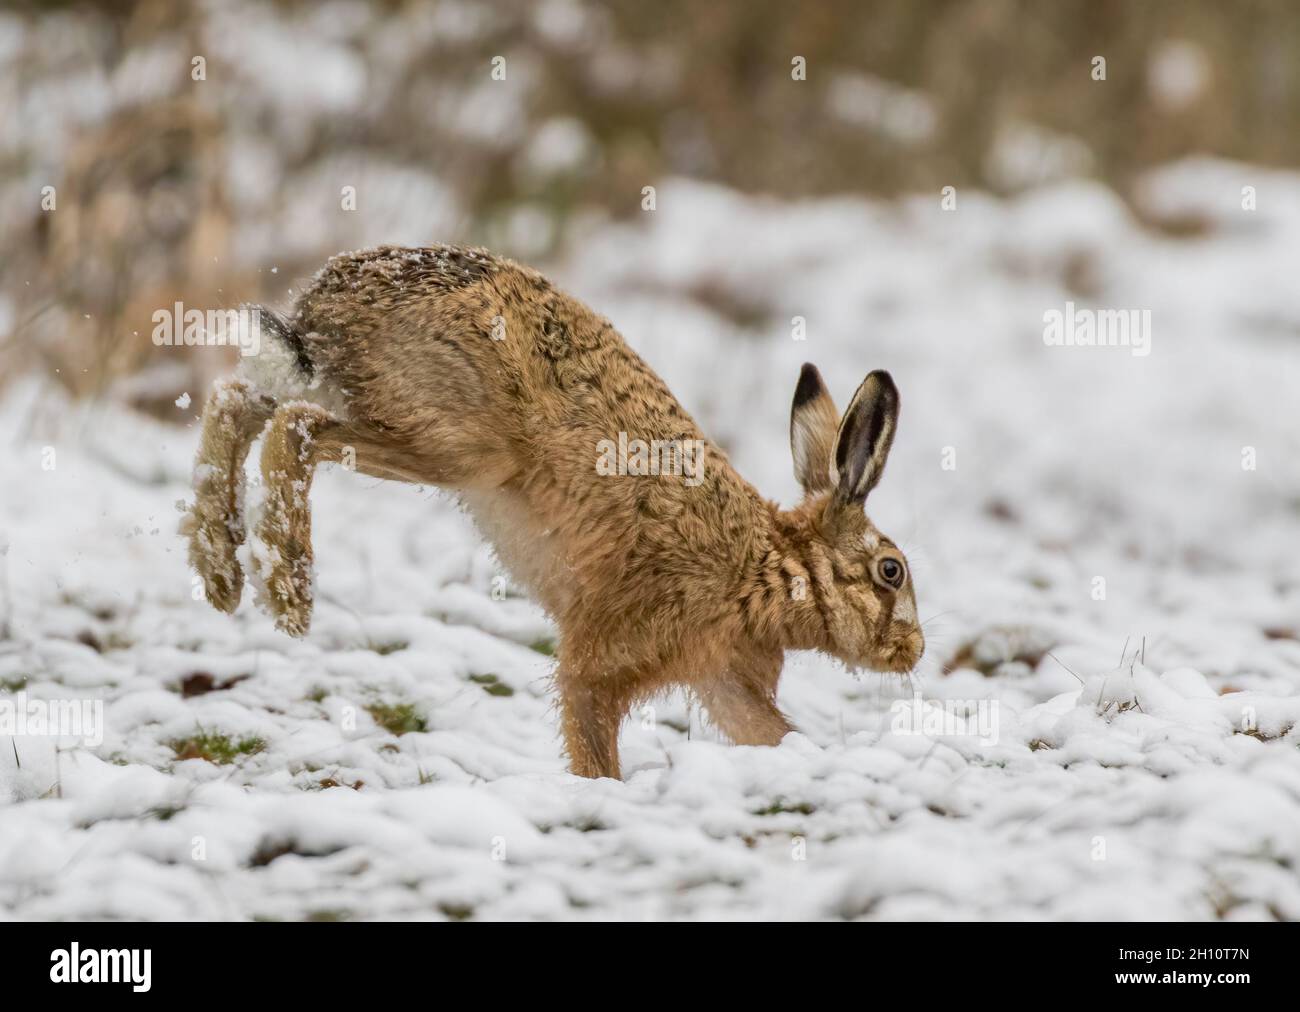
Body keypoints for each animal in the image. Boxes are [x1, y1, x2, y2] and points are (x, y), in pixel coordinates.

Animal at [183, 243, 924, 779]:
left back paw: (220, 571)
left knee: (237, 402)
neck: (773, 568)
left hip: (362, 403)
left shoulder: (725, 679)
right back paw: (286, 590)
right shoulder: (609, 654)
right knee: (295, 430)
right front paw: (601, 792)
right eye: (891, 571)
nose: (913, 651)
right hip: (459, 447)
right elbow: (591, 735)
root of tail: (329, 302)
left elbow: (768, 733)